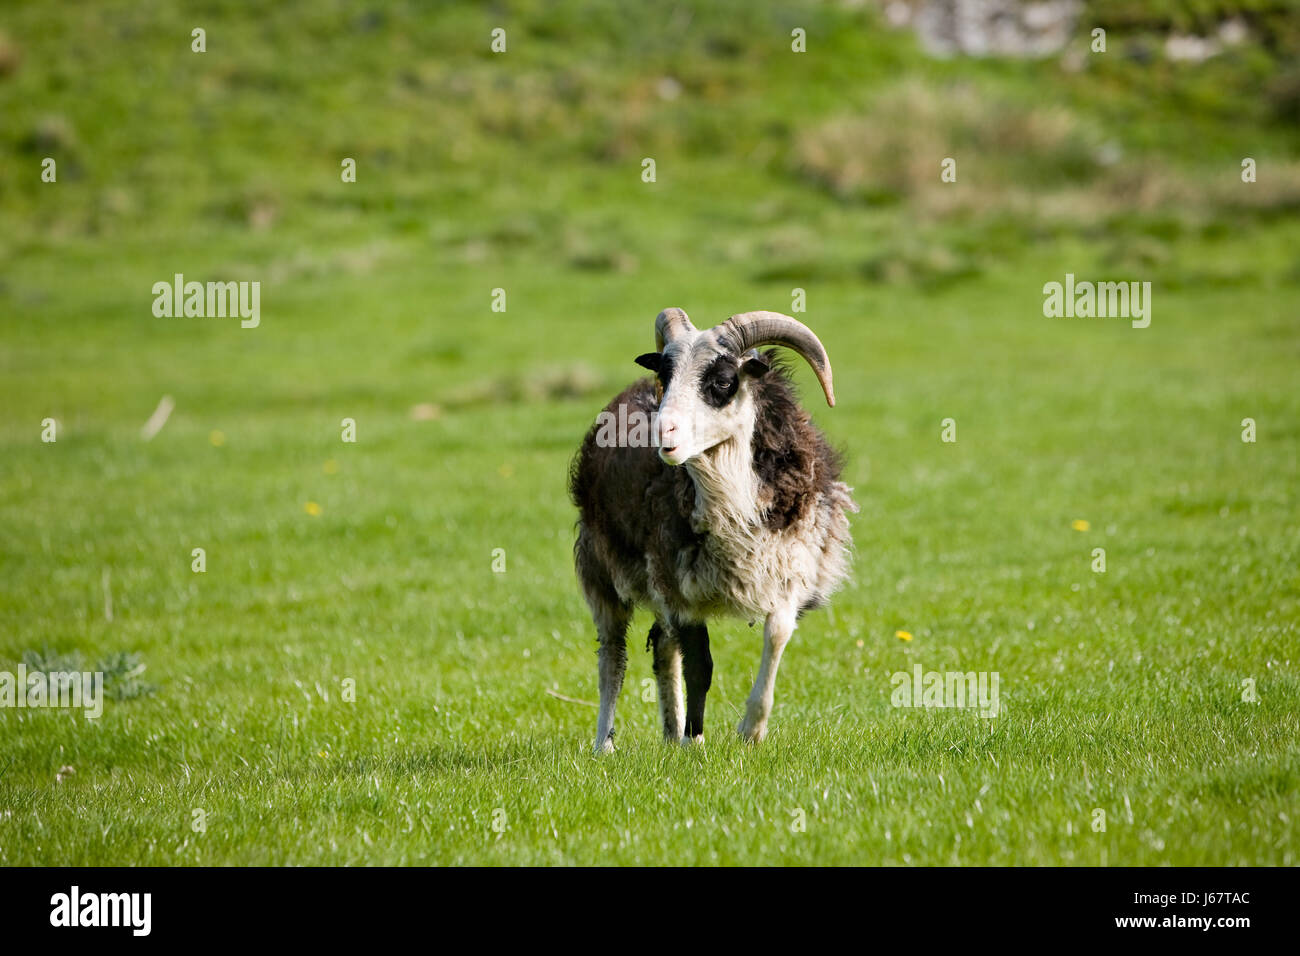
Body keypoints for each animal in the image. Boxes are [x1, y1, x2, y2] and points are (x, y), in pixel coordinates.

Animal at [569, 308, 856, 753]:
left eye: (722, 381)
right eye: (665, 375)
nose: (662, 433)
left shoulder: (788, 572)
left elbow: (776, 637)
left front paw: (750, 730)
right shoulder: (680, 585)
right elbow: (700, 666)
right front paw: (696, 741)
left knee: (663, 649)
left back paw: (671, 734)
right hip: (602, 568)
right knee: (613, 655)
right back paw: (606, 743)